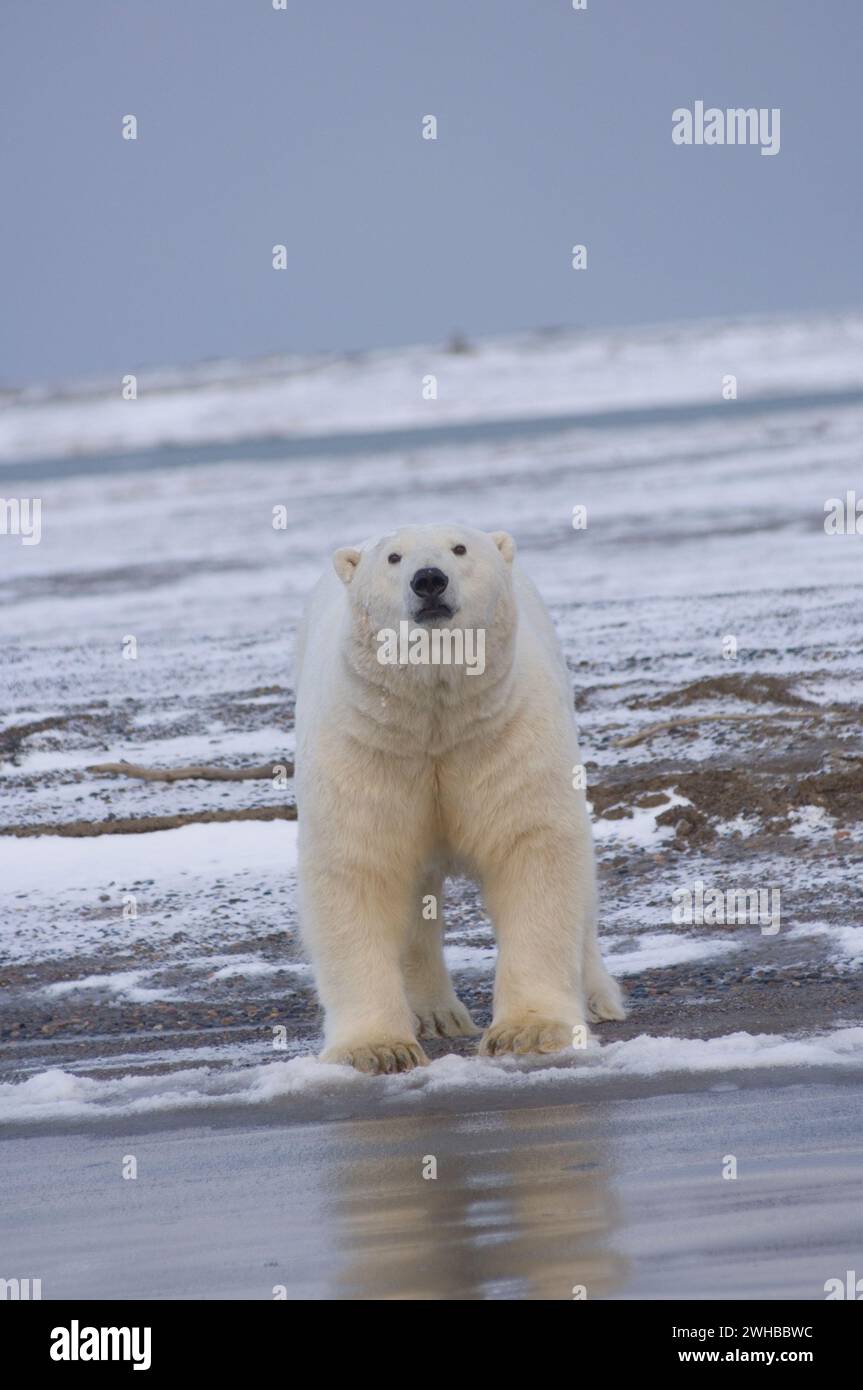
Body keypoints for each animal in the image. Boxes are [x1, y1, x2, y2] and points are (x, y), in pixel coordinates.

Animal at [293, 523, 625, 1073]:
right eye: (393, 557)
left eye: (460, 548)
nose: (429, 580)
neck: (434, 719)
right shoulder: (367, 747)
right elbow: (359, 864)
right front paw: (377, 1049)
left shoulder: (504, 735)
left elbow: (532, 845)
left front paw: (529, 1032)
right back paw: (434, 1015)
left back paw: (599, 997)